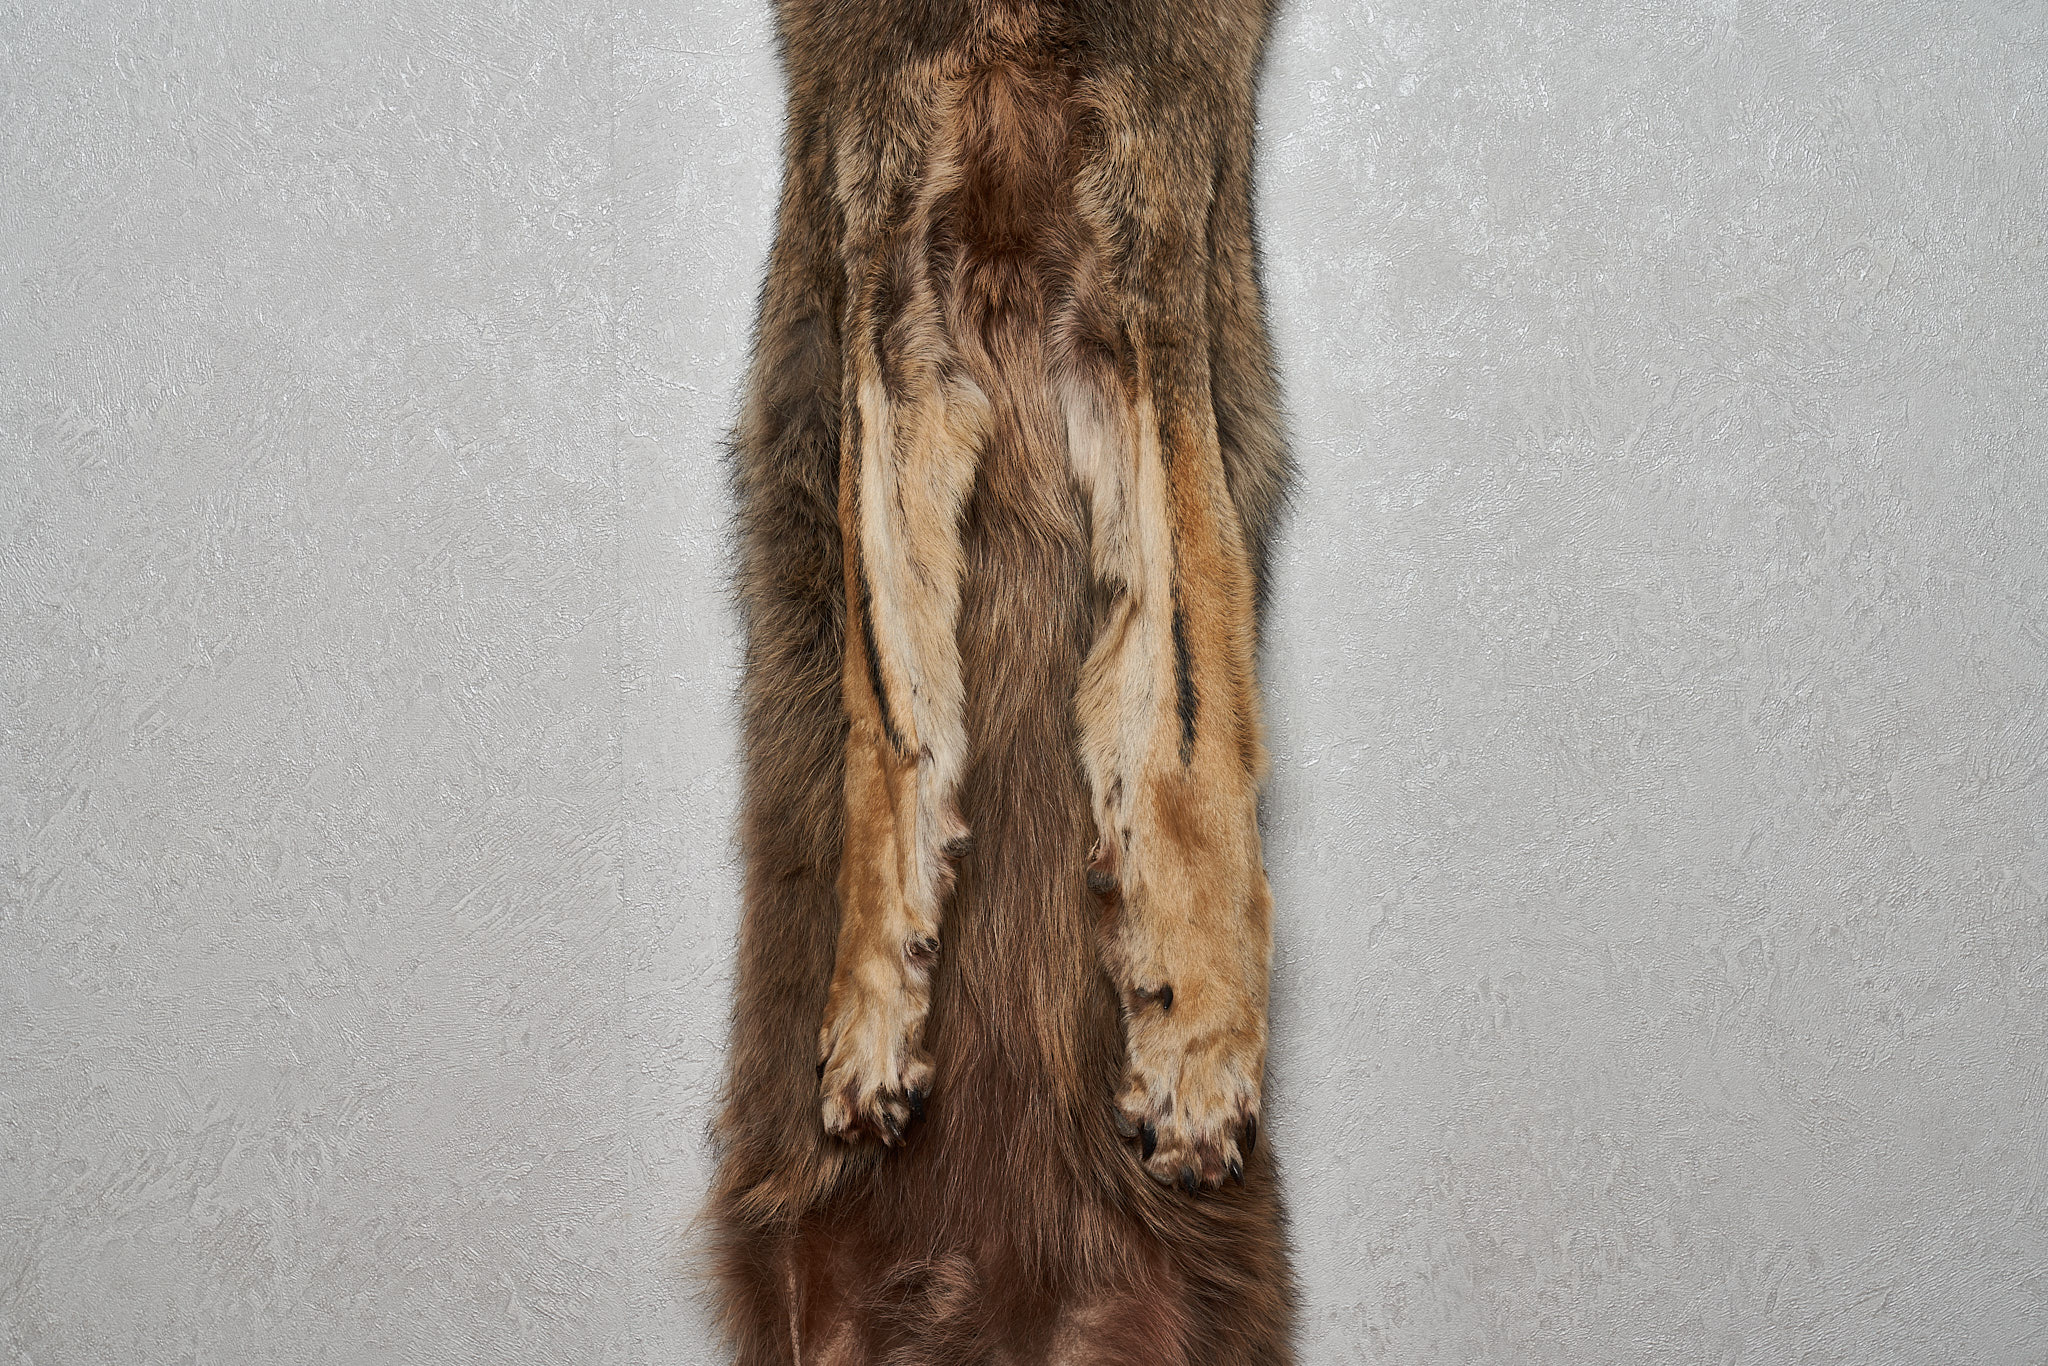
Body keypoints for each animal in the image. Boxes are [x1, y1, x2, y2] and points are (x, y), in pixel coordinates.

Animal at [708, 0, 1295, 1358]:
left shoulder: (1141, 300)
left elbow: (1185, 725)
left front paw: (1199, 1057)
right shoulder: (889, 309)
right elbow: (891, 718)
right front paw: (869, 1023)